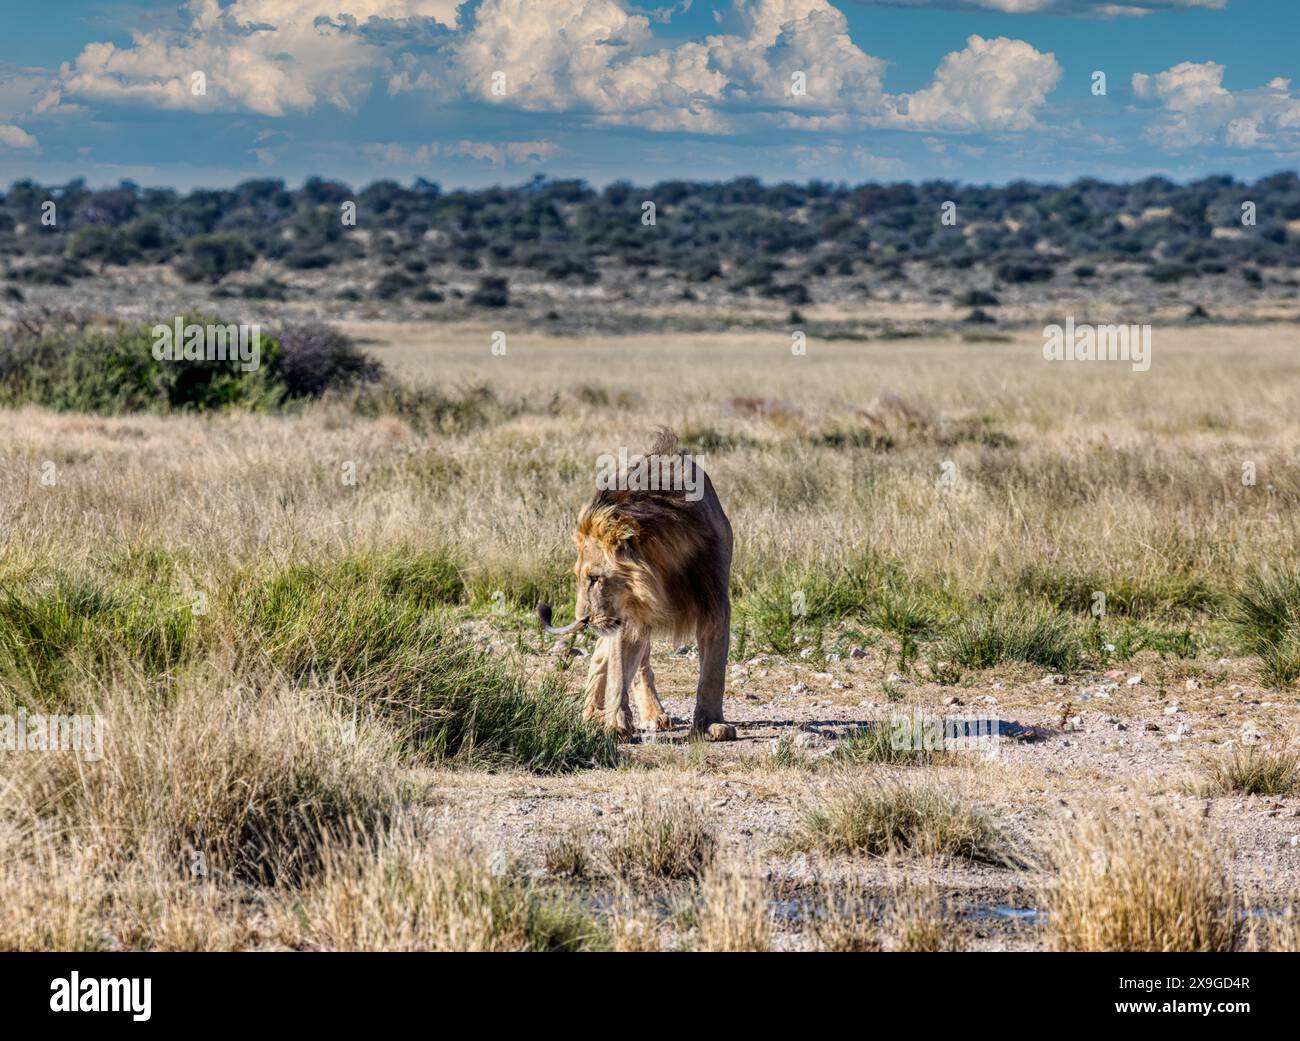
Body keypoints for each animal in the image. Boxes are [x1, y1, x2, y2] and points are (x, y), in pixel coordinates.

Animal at [538, 429, 737, 742]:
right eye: (582, 577)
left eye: (594, 578)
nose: (584, 618)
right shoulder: (628, 613)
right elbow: (620, 671)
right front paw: (615, 723)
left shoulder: (714, 601)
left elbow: (713, 671)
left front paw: (711, 724)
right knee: (616, 660)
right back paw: (597, 714)